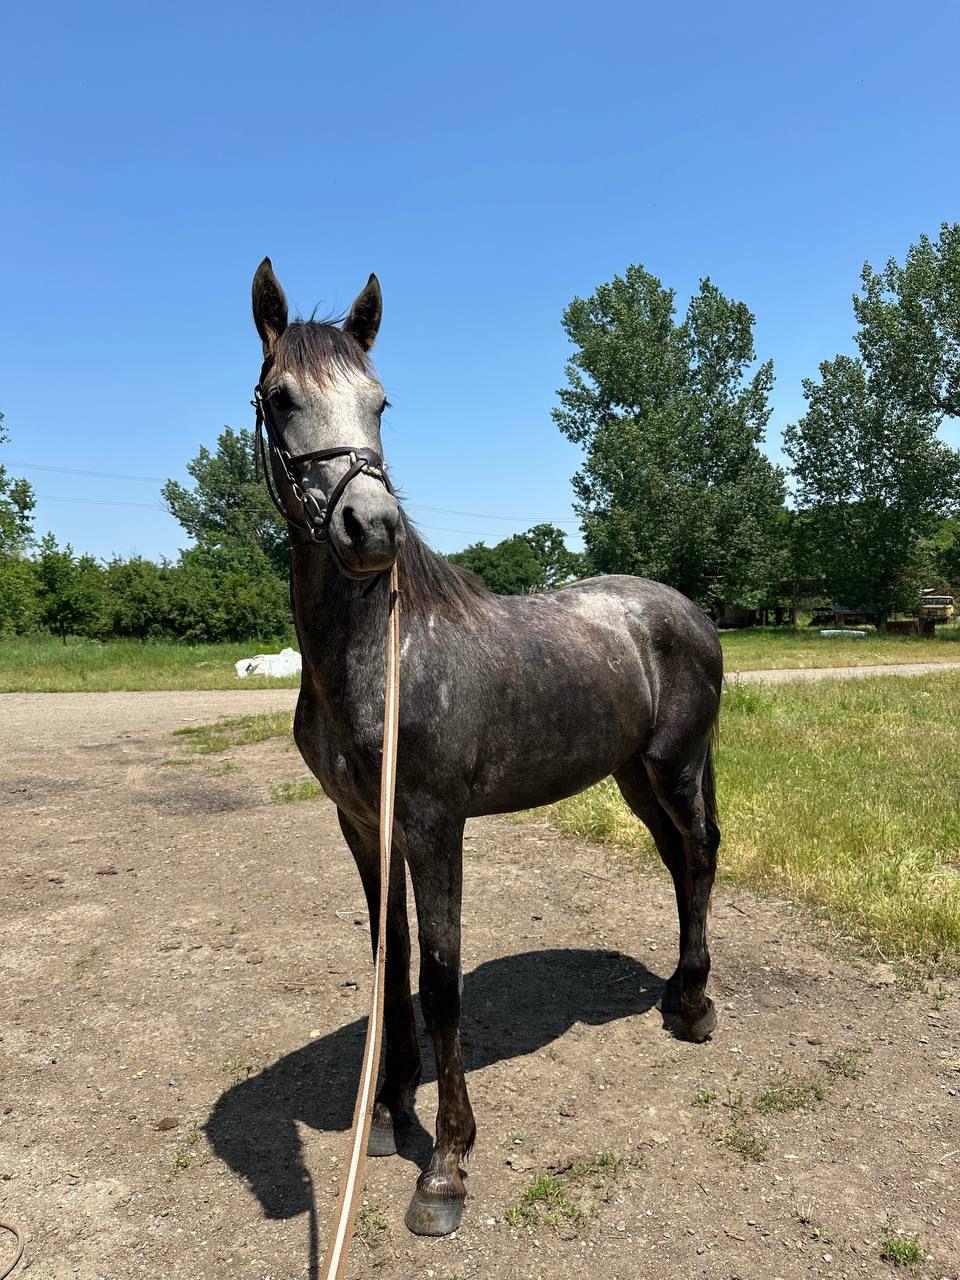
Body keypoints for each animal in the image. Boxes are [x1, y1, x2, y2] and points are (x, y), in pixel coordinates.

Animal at [249, 258, 723, 1237]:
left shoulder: (435, 826)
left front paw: (446, 1166)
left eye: (380, 401)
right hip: (631, 778)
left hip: (676, 766)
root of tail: (687, 611)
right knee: (678, 863)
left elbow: (440, 979)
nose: (371, 528)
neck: (382, 656)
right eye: (280, 398)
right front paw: (388, 1115)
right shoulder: (363, 826)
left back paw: (695, 1006)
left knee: (698, 855)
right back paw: (672, 990)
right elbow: (389, 959)